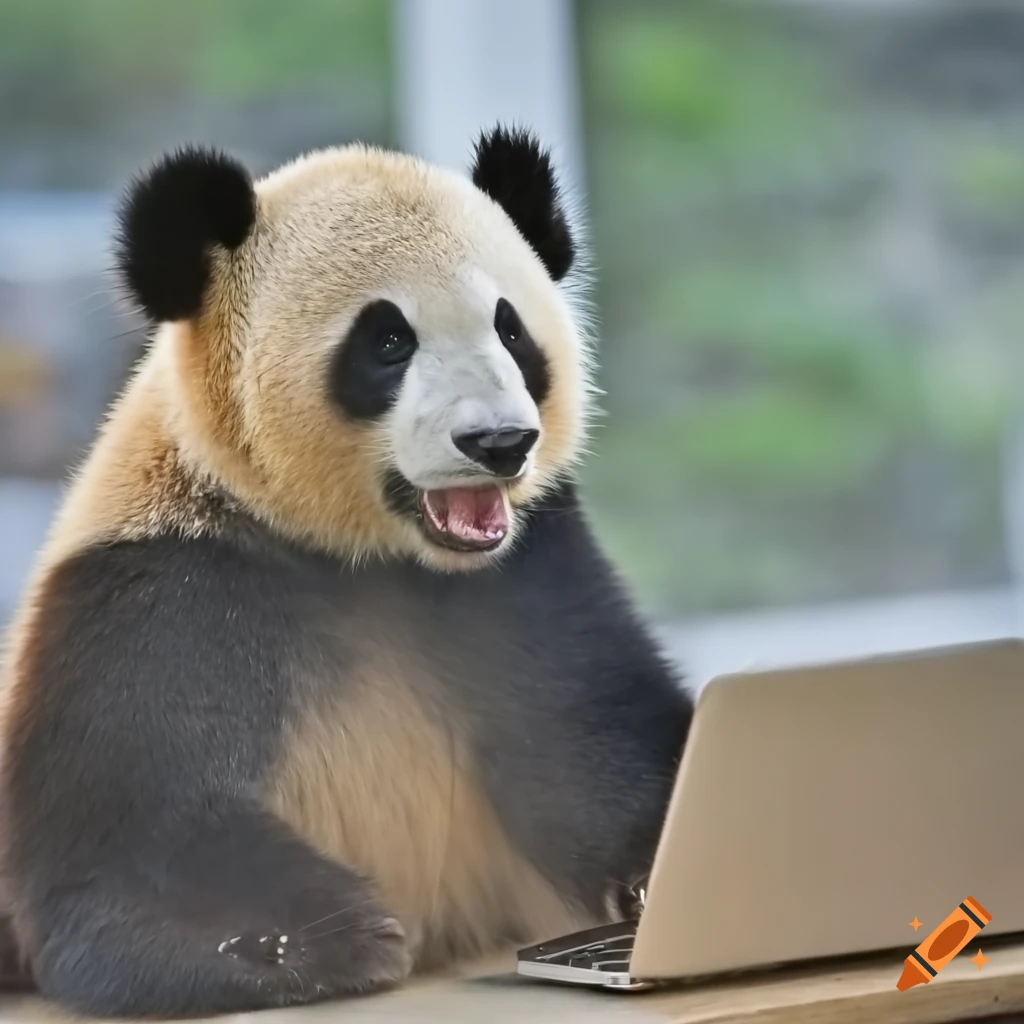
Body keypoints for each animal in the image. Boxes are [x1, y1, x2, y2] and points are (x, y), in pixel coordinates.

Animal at [0, 126, 693, 1018]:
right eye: (389, 341)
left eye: (510, 331)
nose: (500, 442)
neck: (361, 553)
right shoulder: (158, 591)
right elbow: (131, 829)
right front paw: (299, 943)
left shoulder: (528, 572)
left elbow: (597, 725)